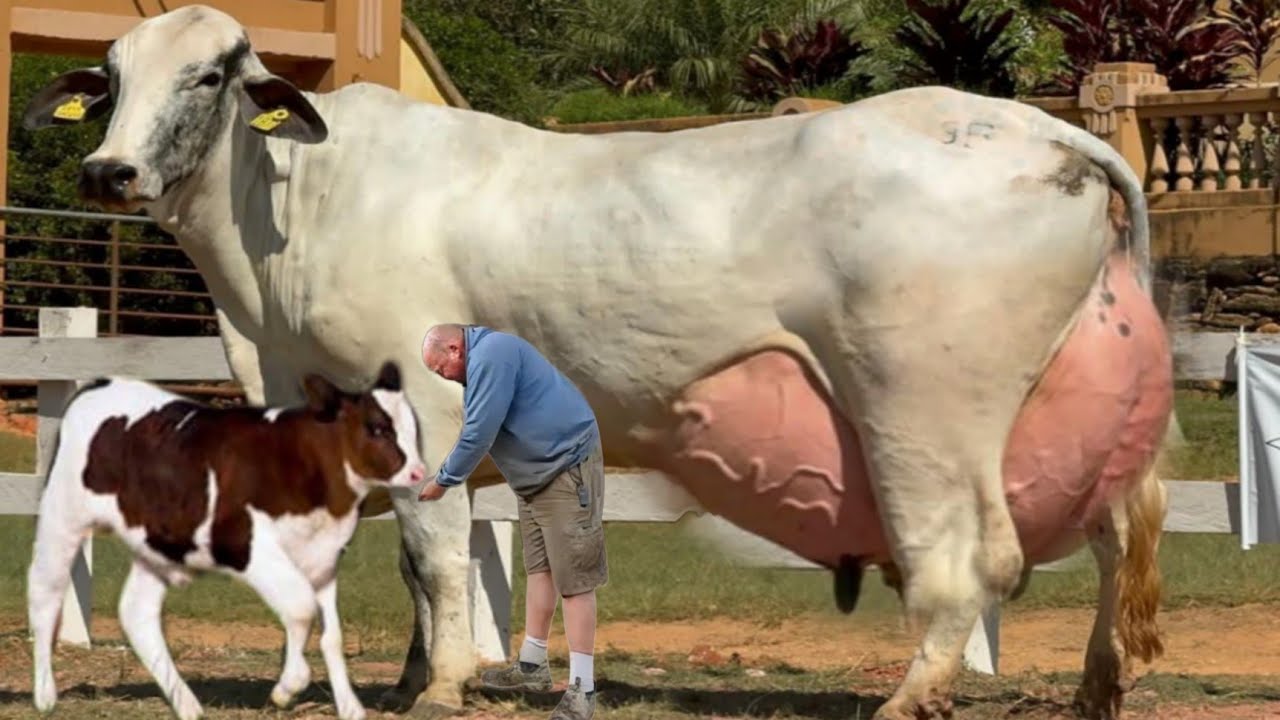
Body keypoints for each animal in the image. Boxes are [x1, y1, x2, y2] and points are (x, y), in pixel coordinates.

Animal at [26, 360, 426, 720]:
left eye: (412, 426)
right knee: (45, 592)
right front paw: (287, 688)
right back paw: (45, 696)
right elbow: (301, 608)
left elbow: (331, 635)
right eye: (377, 428)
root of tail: (101, 383)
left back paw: (187, 705)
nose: (419, 472)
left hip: (160, 544)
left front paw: (350, 708)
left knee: (136, 612)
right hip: (63, 516)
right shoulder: (244, 544)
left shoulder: (323, 559)